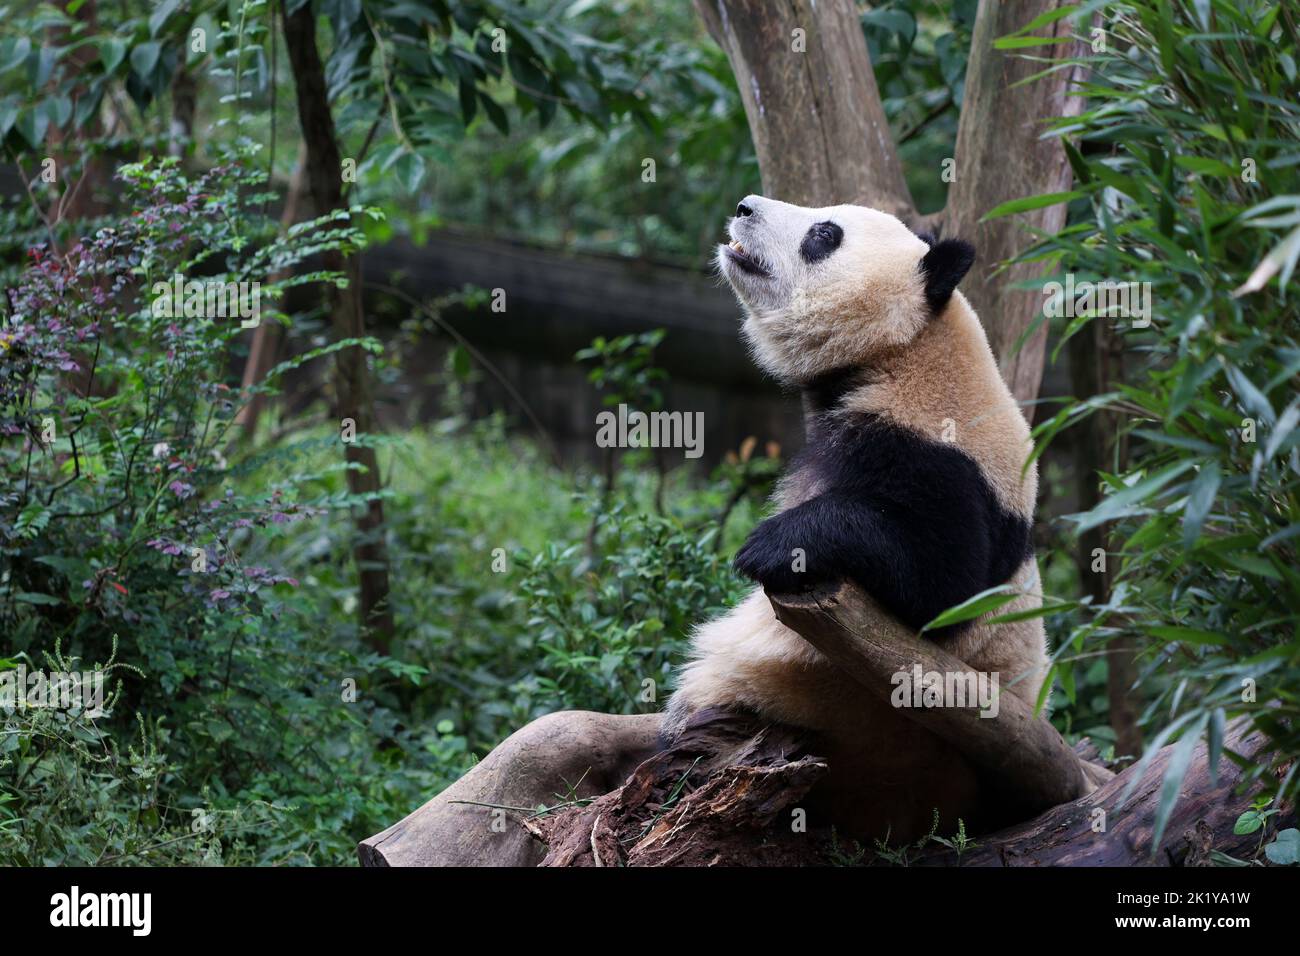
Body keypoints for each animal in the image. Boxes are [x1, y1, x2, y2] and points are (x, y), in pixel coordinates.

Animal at [663, 195, 1050, 843]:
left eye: (825, 234)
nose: (744, 207)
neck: (905, 354)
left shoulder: (948, 463)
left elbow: (940, 583)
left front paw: (774, 544)